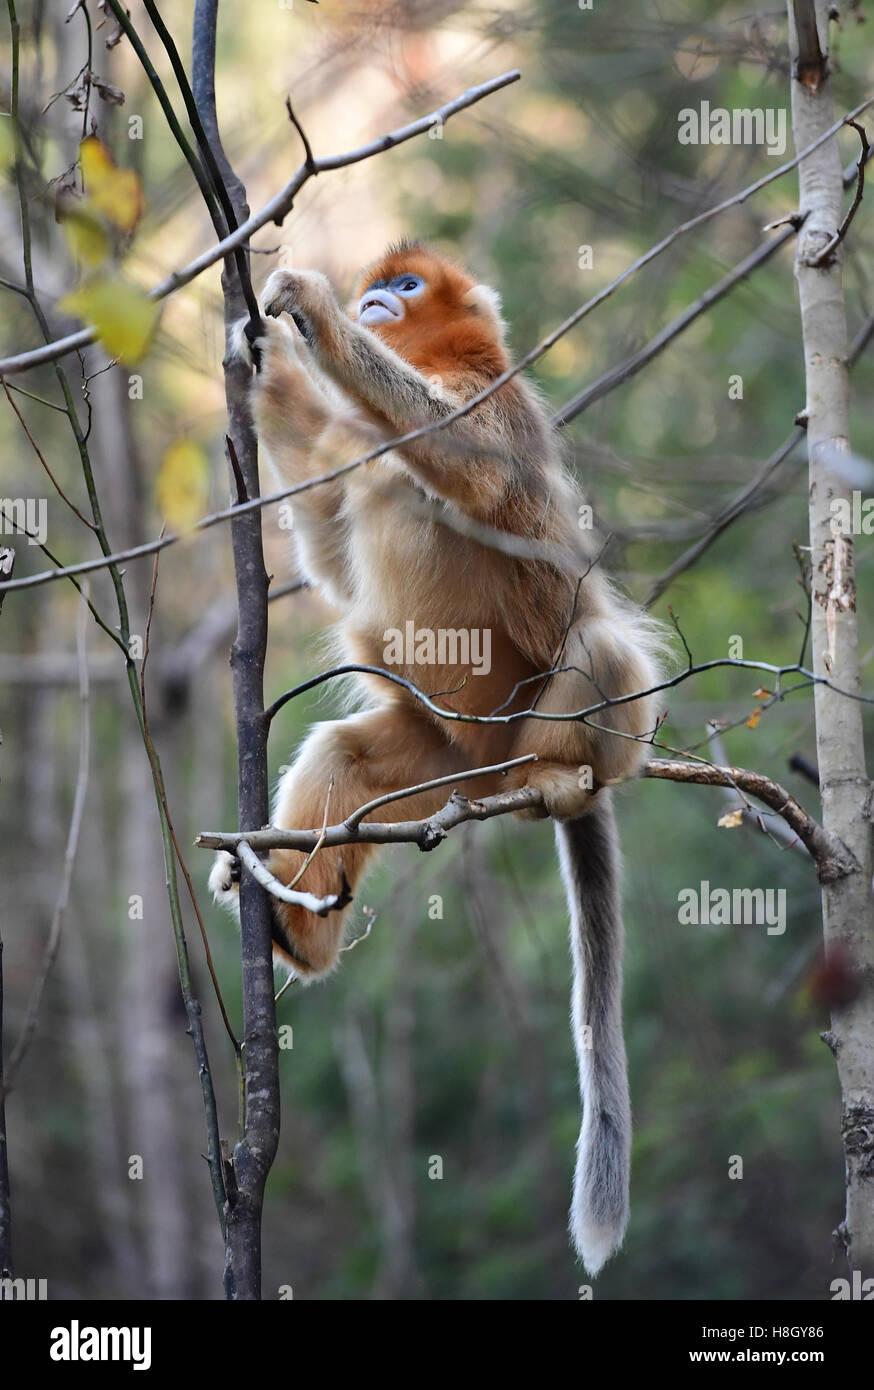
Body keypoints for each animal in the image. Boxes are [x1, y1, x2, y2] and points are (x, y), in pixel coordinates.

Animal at [209, 241, 666, 1275]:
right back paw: (293, 922)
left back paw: (562, 778)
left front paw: (312, 313)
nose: (376, 300)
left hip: (550, 720)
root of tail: (494, 766)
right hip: (441, 753)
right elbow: (335, 562)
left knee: (597, 645)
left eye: (407, 286)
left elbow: (463, 461)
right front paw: (263, 368)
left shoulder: (491, 395)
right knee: (346, 753)